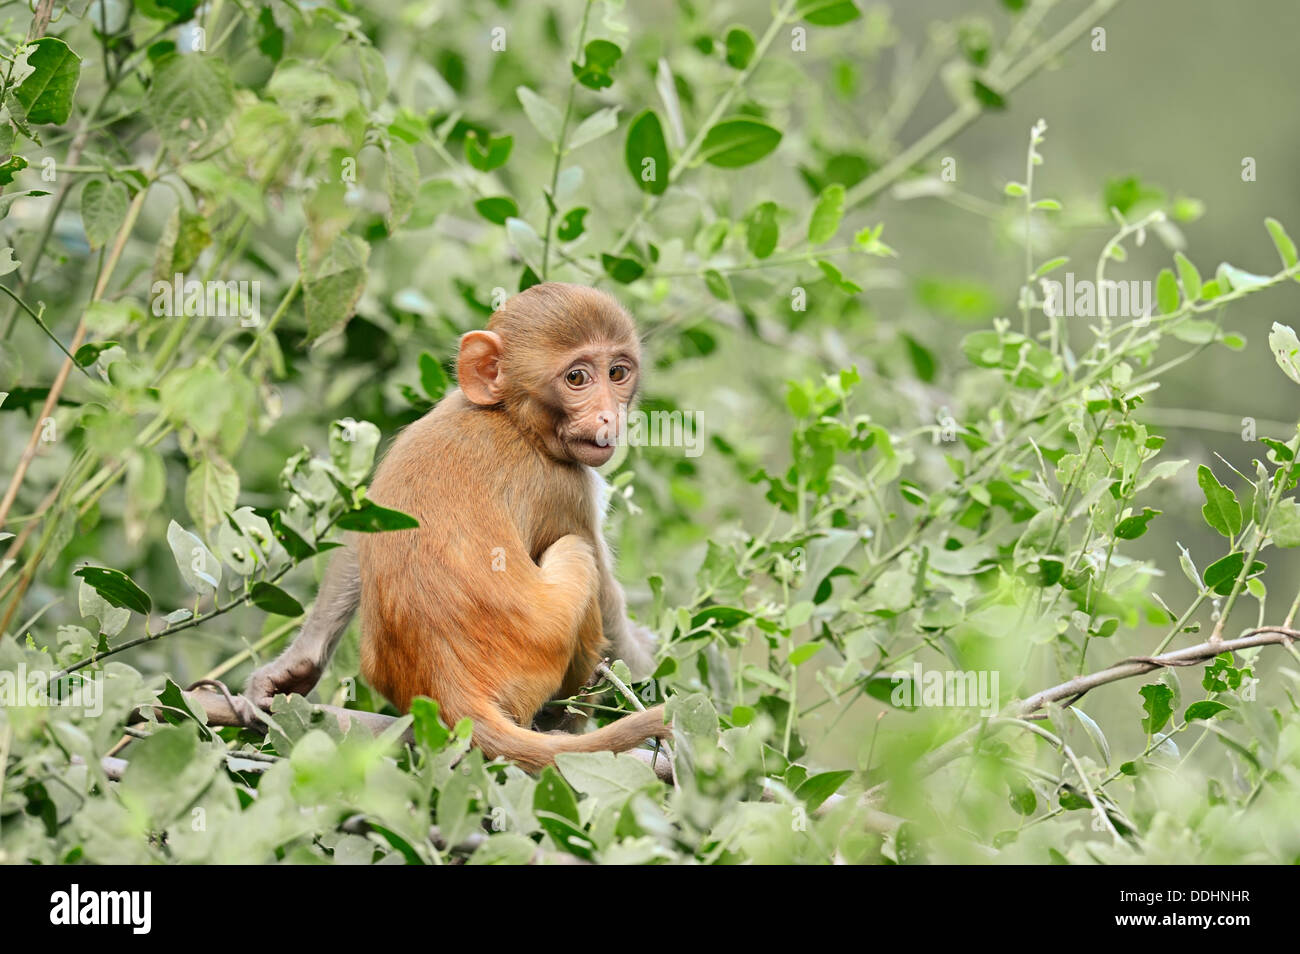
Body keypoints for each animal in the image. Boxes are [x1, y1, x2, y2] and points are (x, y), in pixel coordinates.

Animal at [243, 283, 666, 770]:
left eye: (617, 372)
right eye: (577, 378)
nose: (608, 417)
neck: (510, 416)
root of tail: (455, 695)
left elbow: (363, 530)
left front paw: (294, 666)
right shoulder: (568, 488)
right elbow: (612, 610)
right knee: (576, 552)